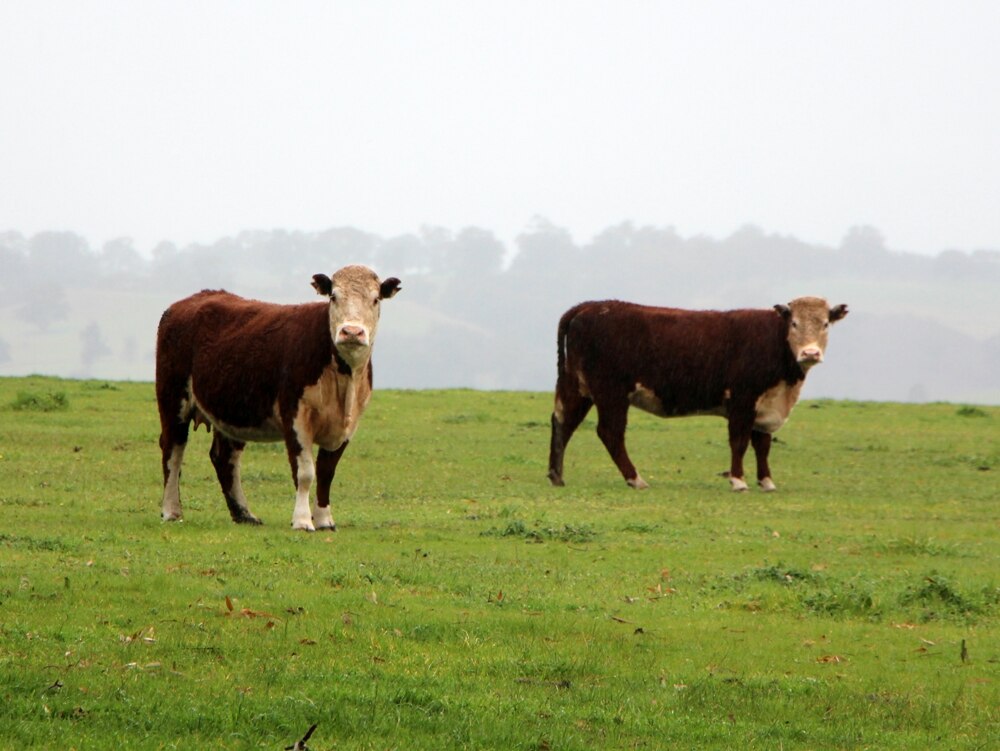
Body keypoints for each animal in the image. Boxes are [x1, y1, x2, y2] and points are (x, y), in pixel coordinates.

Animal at [156, 264, 401, 530]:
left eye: (375, 299)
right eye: (334, 296)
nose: (352, 331)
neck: (344, 380)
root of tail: (190, 300)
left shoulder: (347, 425)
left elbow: (326, 472)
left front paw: (325, 520)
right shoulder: (294, 414)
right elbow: (305, 472)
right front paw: (302, 520)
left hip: (233, 408)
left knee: (224, 457)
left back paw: (244, 514)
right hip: (173, 398)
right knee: (173, 450)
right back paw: (171, 510)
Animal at [547, 296, 848, 491]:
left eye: (825, 324)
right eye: (794, 323)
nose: (810, 352)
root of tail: (590, 306)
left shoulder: (766, 405)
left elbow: (762, 445)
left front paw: (766, 481)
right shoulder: (742, 400)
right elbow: (739, 441)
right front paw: (738, 480)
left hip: (579, 388)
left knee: (563, 422)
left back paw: (556, 475)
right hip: (610, 392)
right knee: (610, 433)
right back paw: (635, 479)